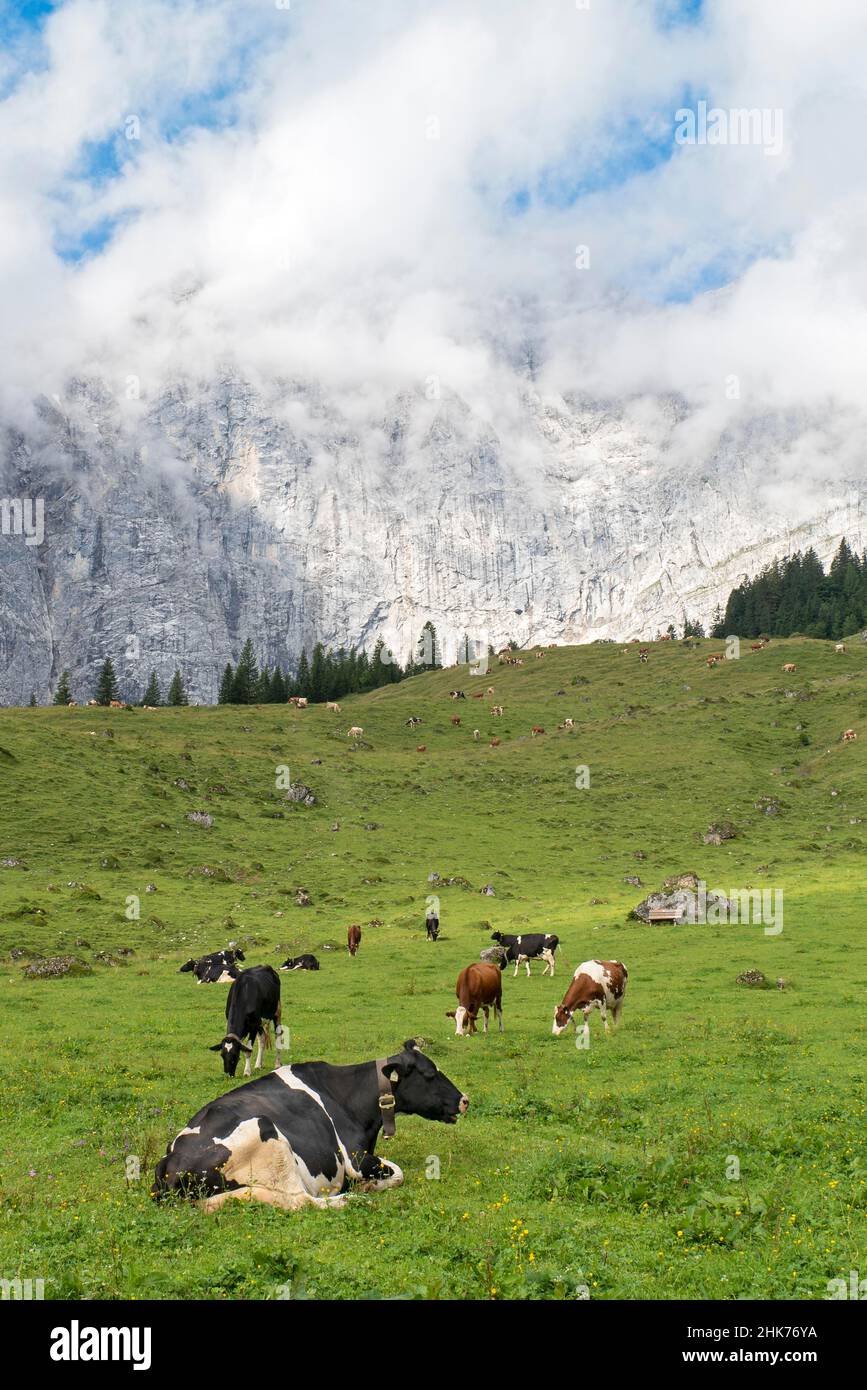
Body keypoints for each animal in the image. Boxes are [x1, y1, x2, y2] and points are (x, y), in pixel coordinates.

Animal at [152, 1039, 468, 1212]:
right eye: (430, 1074)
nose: (464, 1099)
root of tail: (170, 1162)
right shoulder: (355, 1160)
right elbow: (399, 1173)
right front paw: (369, 1186)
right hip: (268, 1135)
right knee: (301, 1201)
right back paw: (352, 1199)